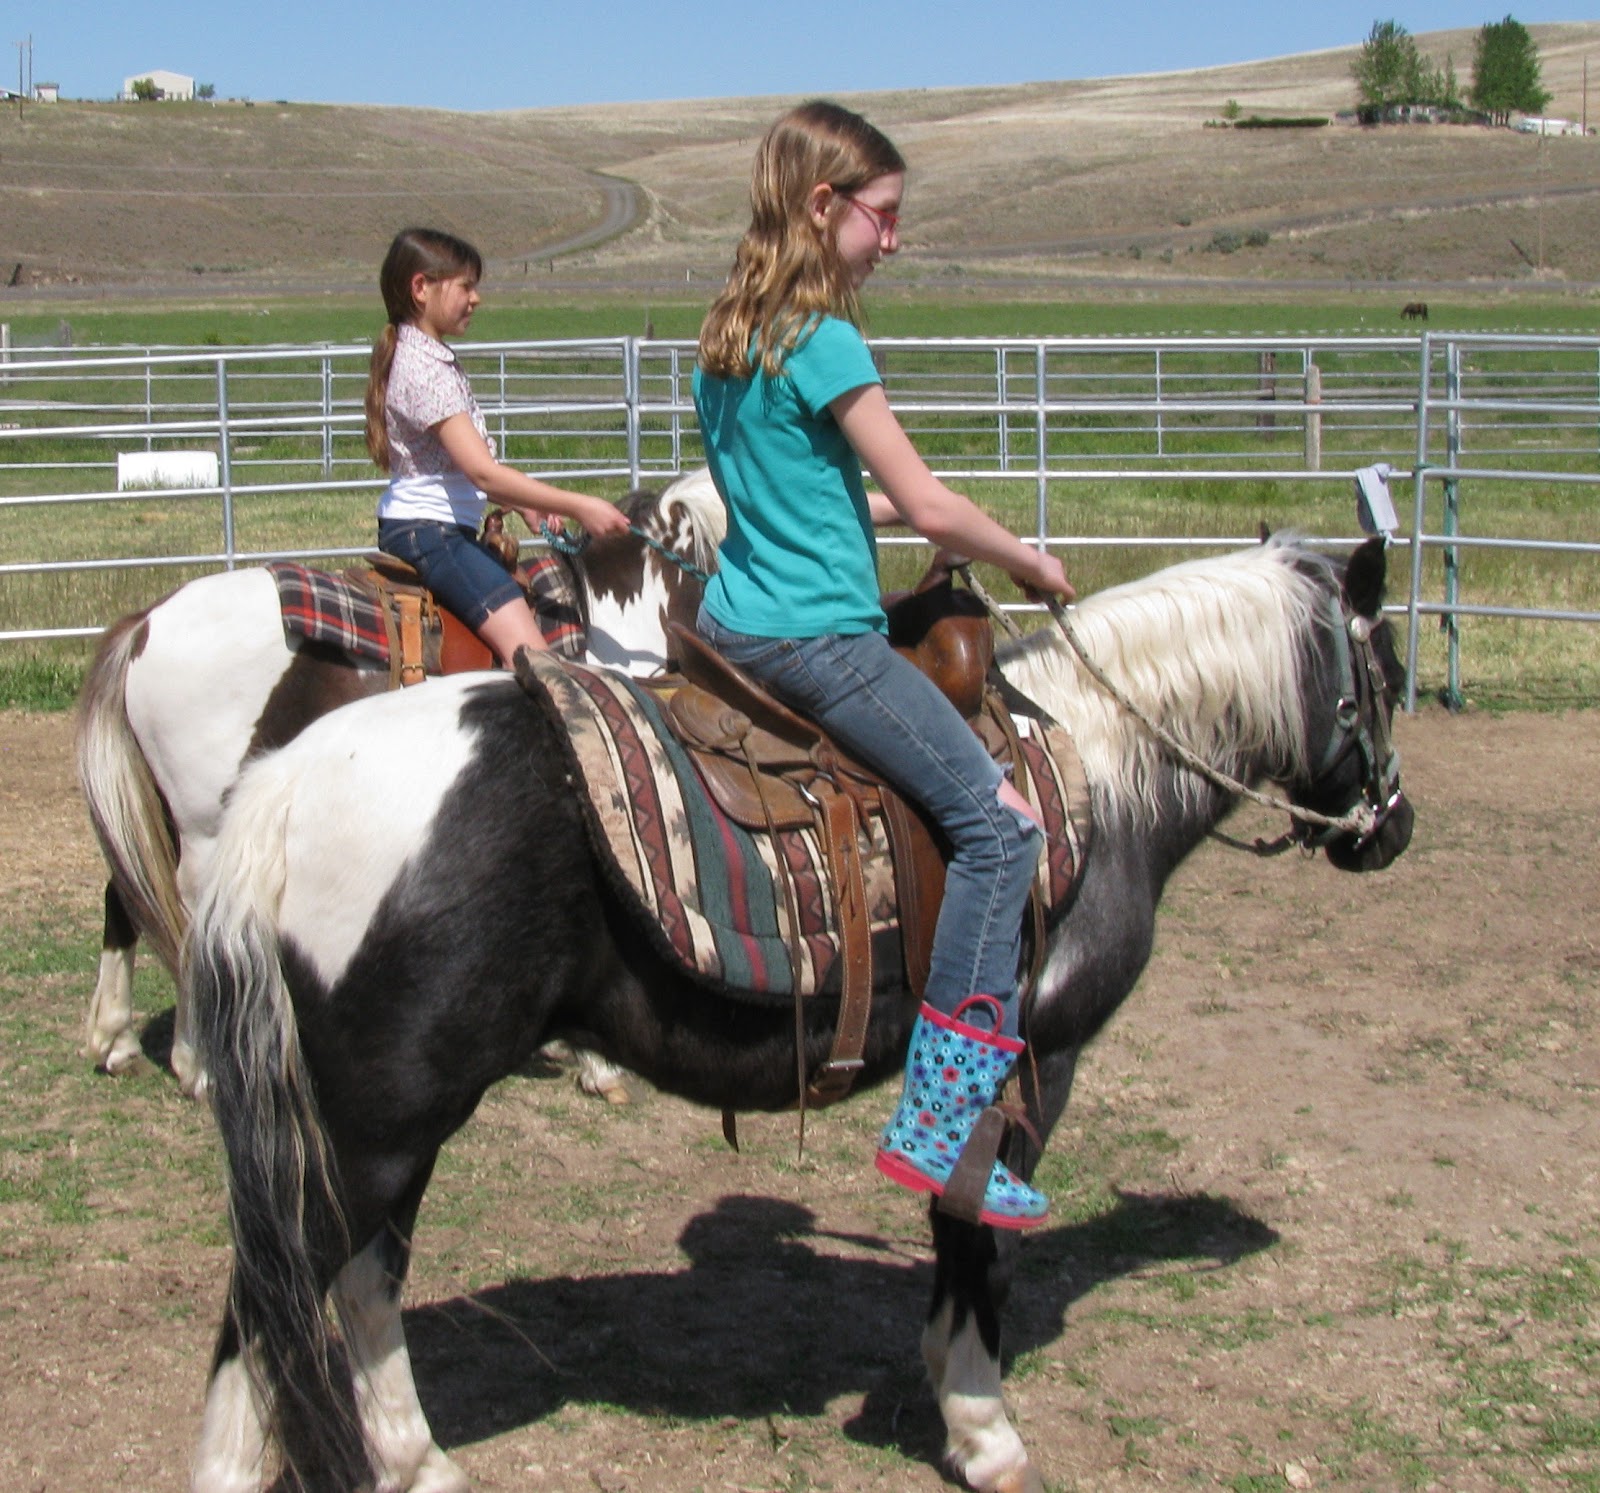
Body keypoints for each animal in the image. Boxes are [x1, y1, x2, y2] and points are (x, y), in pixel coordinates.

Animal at [75, 467, 723, 1098]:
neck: (611, 620)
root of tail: (145, 624)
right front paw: (600, 1064)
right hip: (205, 820)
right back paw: (197, 1064)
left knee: (125, 892)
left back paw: (116, 1041)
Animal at [181, 535, 1414, 1493]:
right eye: (1390, 672)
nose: (1391, 829)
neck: (1097, 777)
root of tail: (284, 788)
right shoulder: (1034, 1062)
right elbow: (979, 1240)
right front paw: (984, 1428)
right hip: (376, 1121)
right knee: (277, 1293)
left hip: (387, 1118)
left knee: (359, 1281)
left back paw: (416, 1457)